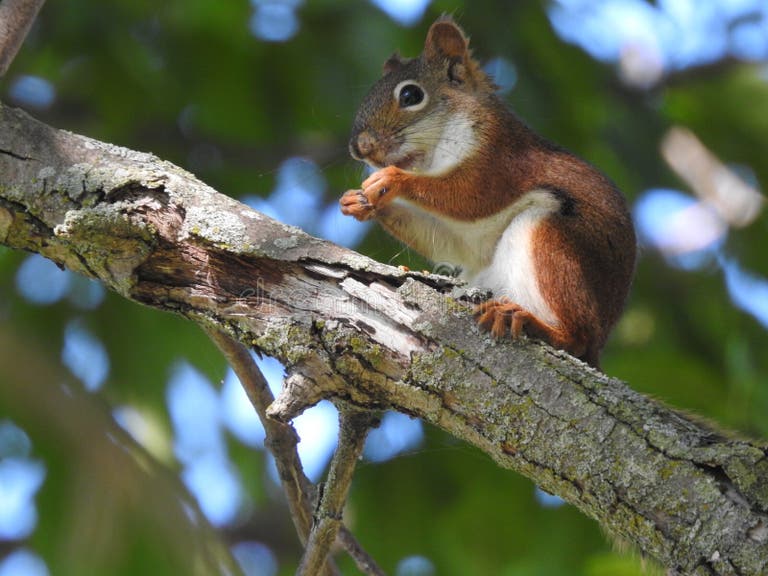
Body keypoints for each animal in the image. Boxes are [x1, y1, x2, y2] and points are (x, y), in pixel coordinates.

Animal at [340, 16, 636, 368]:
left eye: (411, 94)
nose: (359, 148)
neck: (431, 156)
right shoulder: (463, 241)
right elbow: (448, 242)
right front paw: (358, 202)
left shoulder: (500, 160)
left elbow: (472, 195)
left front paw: (394, 179)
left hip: (552, 236)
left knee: (577, 338)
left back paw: (527, 320)